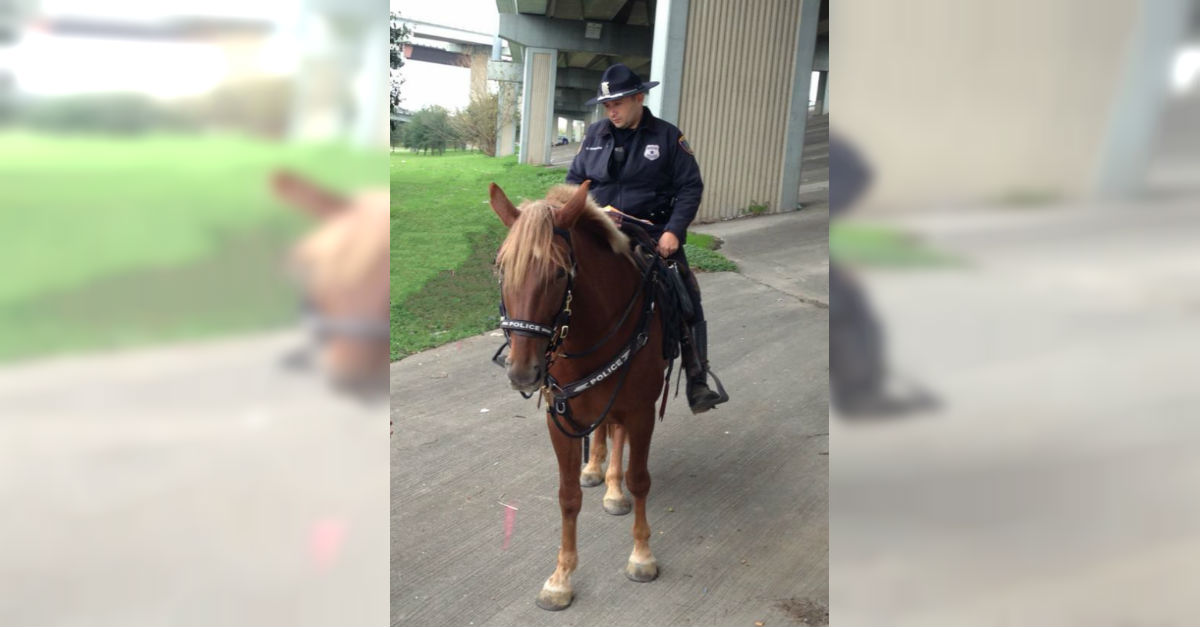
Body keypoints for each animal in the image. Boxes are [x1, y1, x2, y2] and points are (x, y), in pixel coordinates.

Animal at [489, 180, 671, 611]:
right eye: (501, 268)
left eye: (558, 272)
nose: (523, 371)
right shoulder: (559, 417)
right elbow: (568, 496)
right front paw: (561, 578)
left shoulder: (641, 411)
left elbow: (640, 479)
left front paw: (642, 555)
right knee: (604, 431)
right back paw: (597, 470)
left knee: (617, 437)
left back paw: (614, 488)